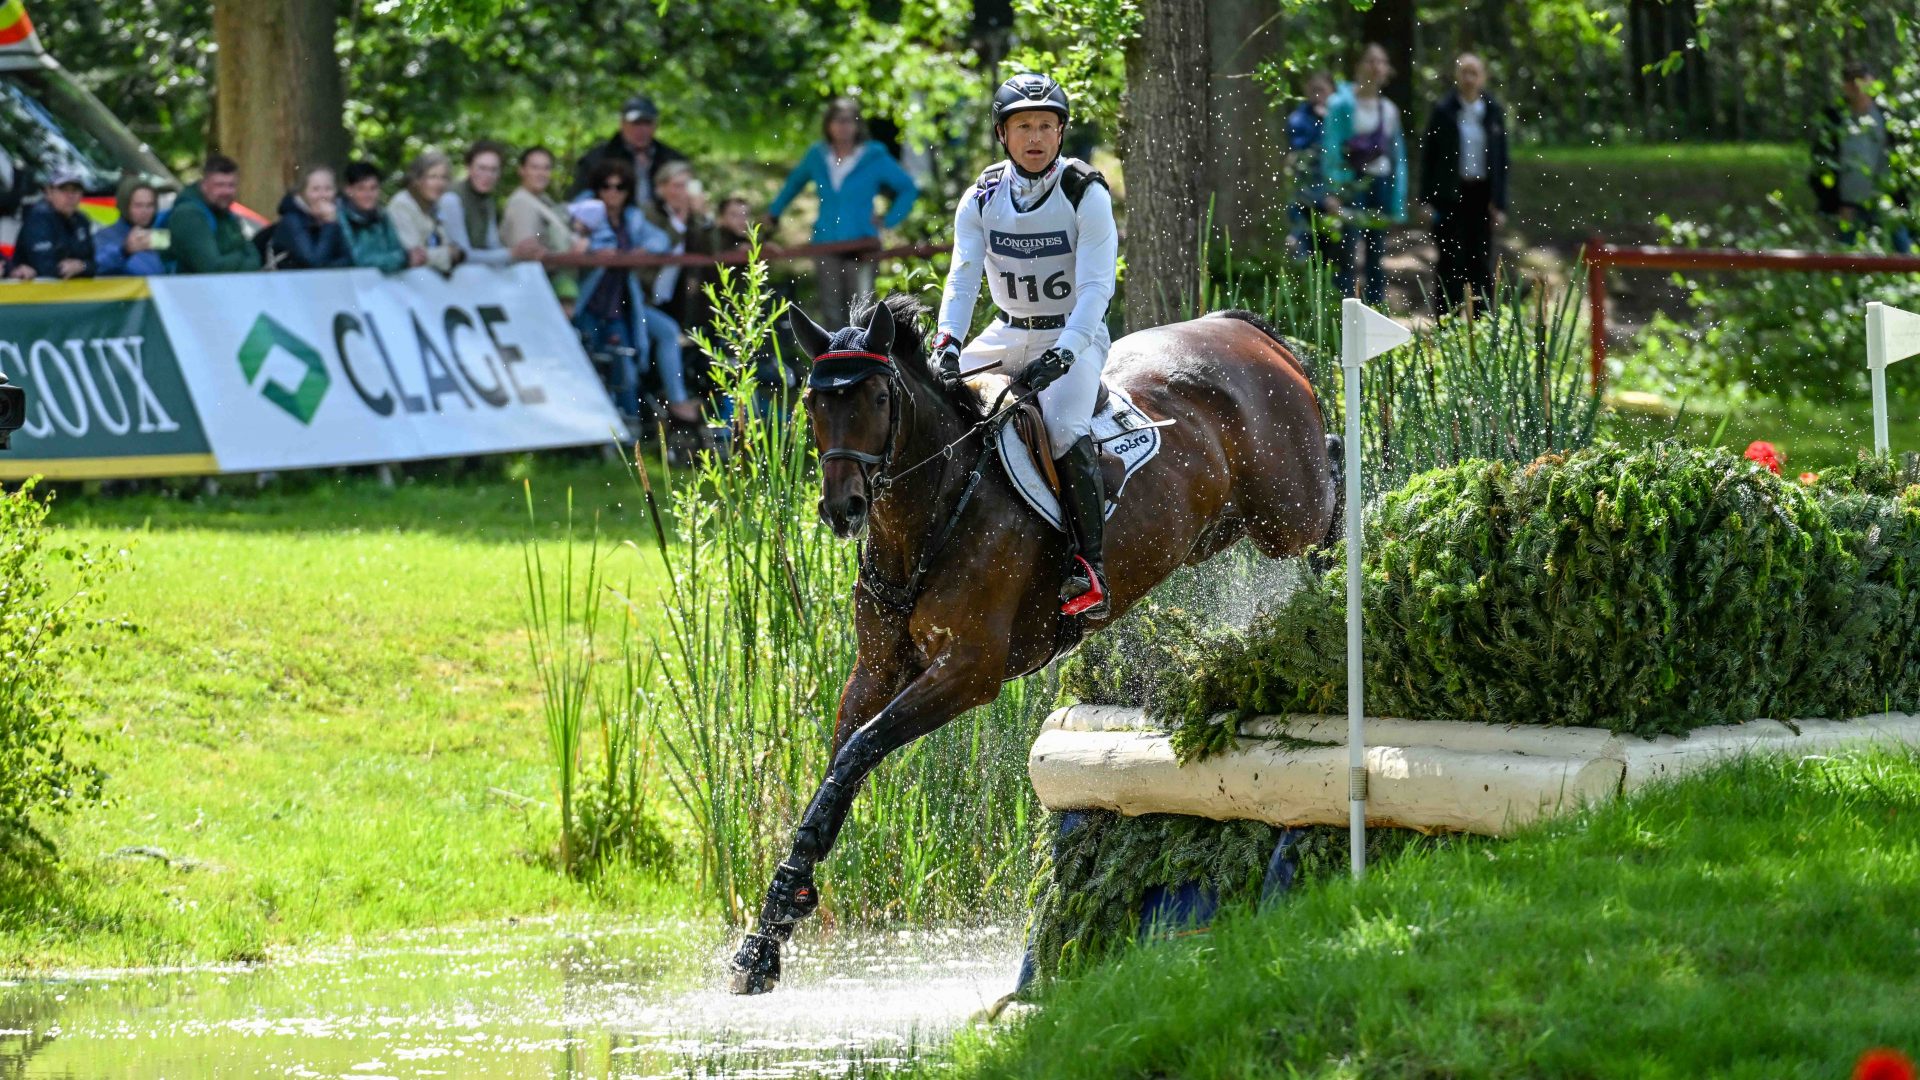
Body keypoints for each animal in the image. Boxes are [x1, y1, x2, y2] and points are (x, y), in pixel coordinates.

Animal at [728, 292, 1340, 994]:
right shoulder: (876, 671)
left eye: (879, 398)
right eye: (813, 401)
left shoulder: (969, 671)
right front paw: (768, 934)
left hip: (1285, 514)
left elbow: (859, 750)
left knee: (1331, 478)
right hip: (1222, 528)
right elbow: (840, 769)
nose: (843, 510)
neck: (930, 513)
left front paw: (779, 917)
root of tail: (1240, 328)